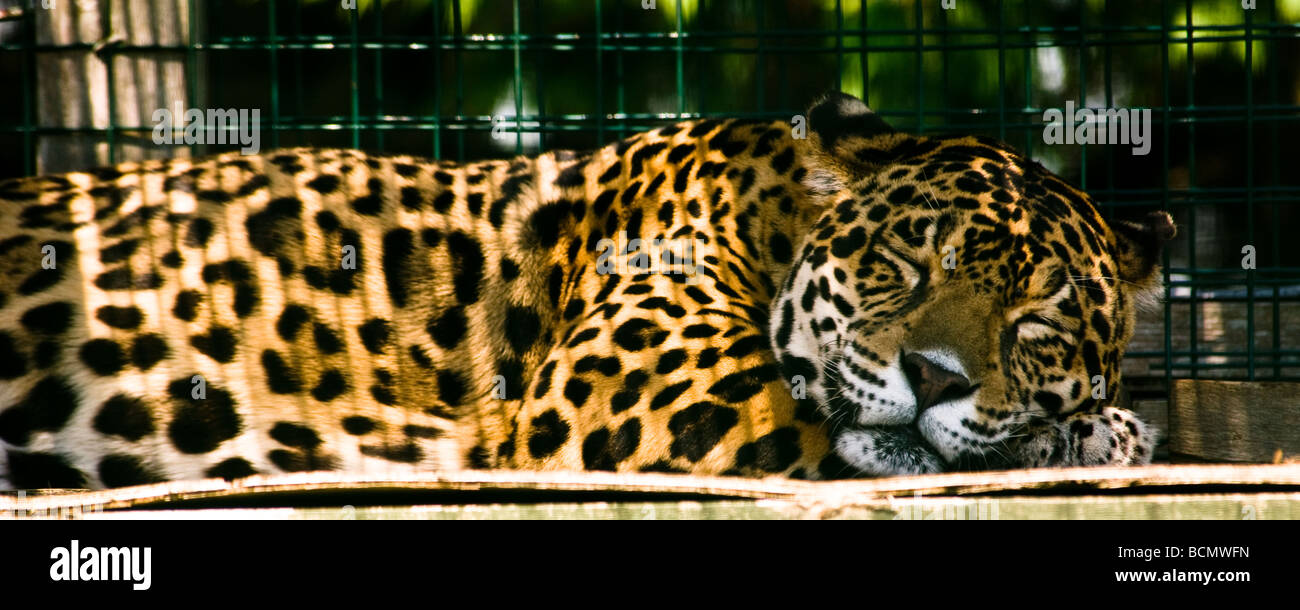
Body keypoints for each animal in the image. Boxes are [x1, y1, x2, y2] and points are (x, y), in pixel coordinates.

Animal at [0, 91, 1170, 490]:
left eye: (1040, 320)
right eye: (904, 262)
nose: (931, 377)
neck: (765, 213)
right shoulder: (642, 405)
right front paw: (1107, 432)